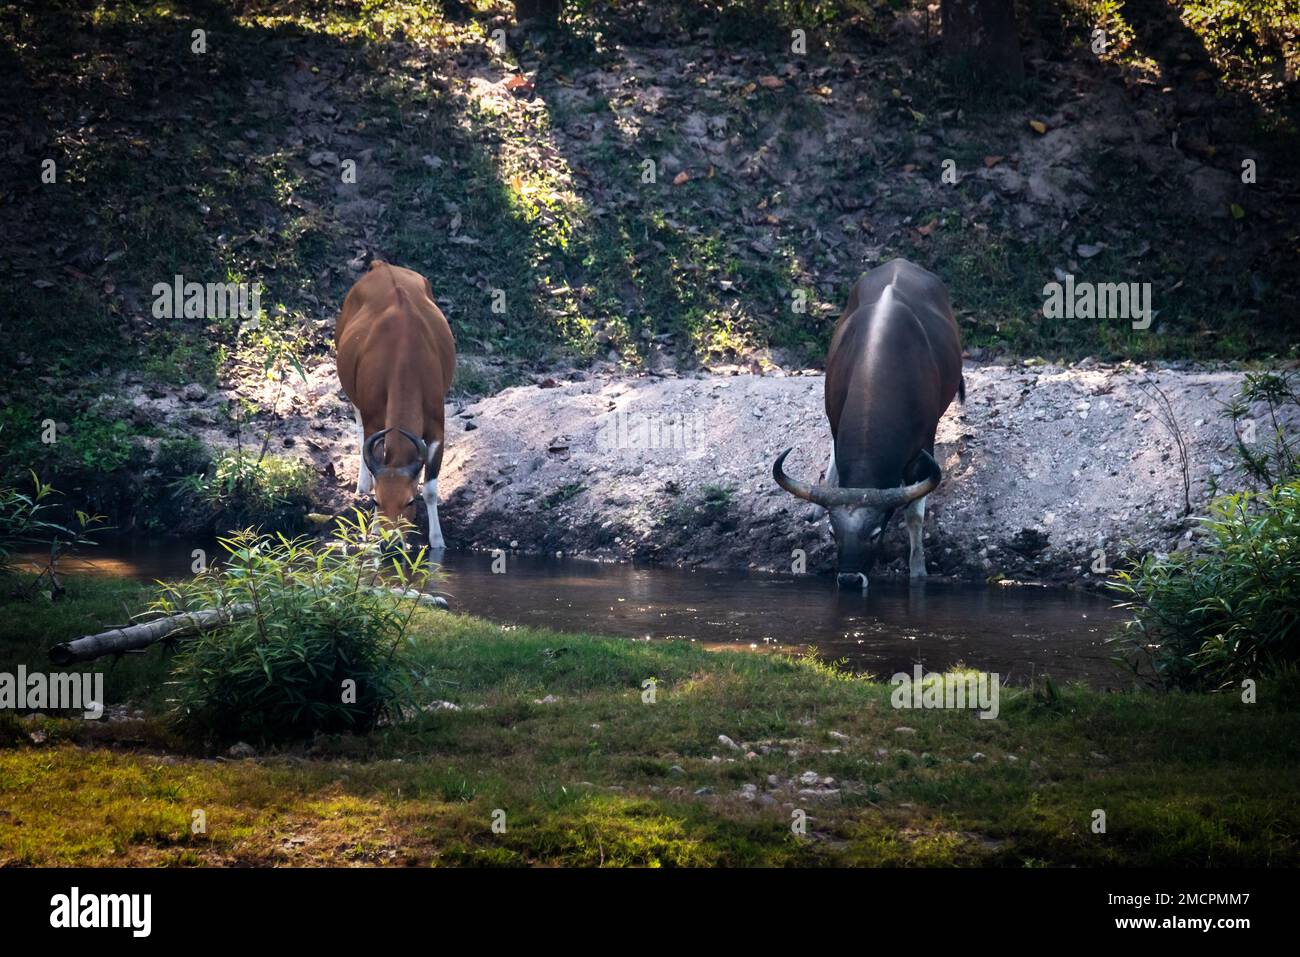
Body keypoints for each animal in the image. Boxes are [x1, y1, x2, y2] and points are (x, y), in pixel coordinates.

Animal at [335, 261, 456, 548]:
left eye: (409, 501)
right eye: (377, 502)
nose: (390, 542)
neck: (405, 359)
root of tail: (382, 265)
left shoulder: (438, 426)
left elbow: (431, 489)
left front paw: (437, 540)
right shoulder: (373, 419)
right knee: (357, 425)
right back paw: (361, 483)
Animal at [772, 259, 963, 591]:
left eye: (875, 534)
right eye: (833, 533)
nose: (849, 579)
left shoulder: (925, 441)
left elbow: (914, 515)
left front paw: (918, 569)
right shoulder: (835, 418)